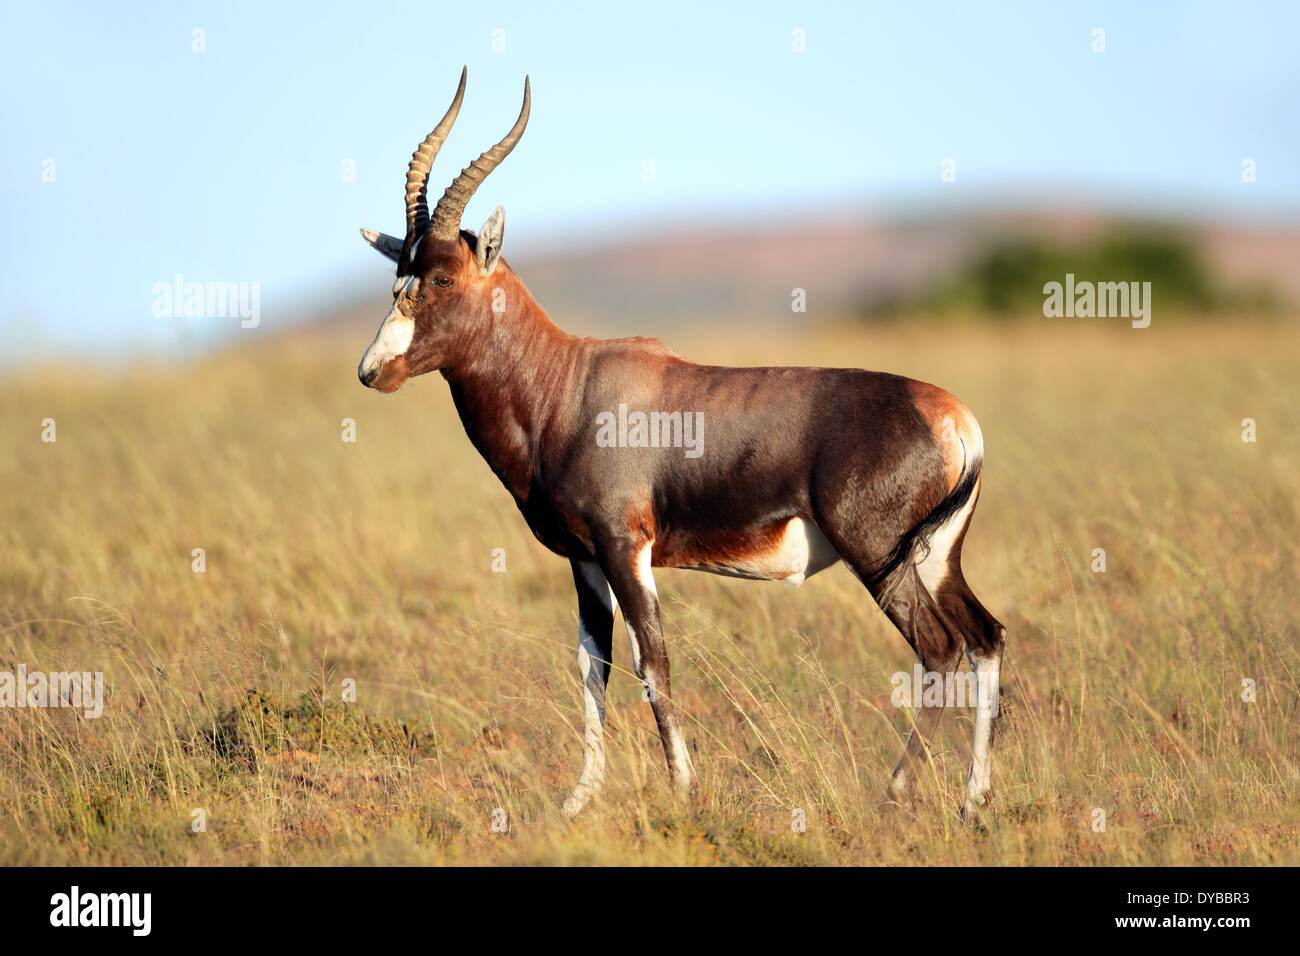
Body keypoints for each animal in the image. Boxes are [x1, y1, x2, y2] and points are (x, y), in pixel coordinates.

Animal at [357, 69, 1007, 819]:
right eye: (397, 273)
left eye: (441, 277)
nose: (372, 370)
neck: (567, 382)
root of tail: (955, 417)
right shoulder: (585, 559)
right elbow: (593, 668)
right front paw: (578, 801)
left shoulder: (625, 548)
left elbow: (653, 661)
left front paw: (685, 791)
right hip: (936, 557)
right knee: (985, 637)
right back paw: (972, 802)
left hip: (878, 557)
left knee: (940, 648)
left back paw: (893, 795)